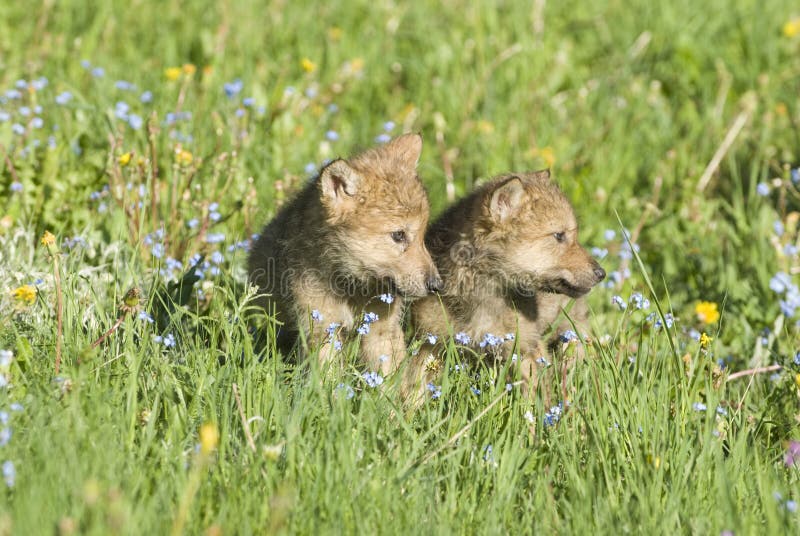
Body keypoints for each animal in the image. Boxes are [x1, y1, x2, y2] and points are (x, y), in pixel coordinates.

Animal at [248, 134, 442, 375]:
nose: (436, 285)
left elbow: (391, 376)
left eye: (423, 235)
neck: (351, 286)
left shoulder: (381, 330)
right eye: (399, 235)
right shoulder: (322, 327)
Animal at [403, 169, 605, 400]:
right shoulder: (431, 342)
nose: (601, 273)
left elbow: (535, 400)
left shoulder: (525, 348)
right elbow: (414, 390)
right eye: (559, 235)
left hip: (571, 332)